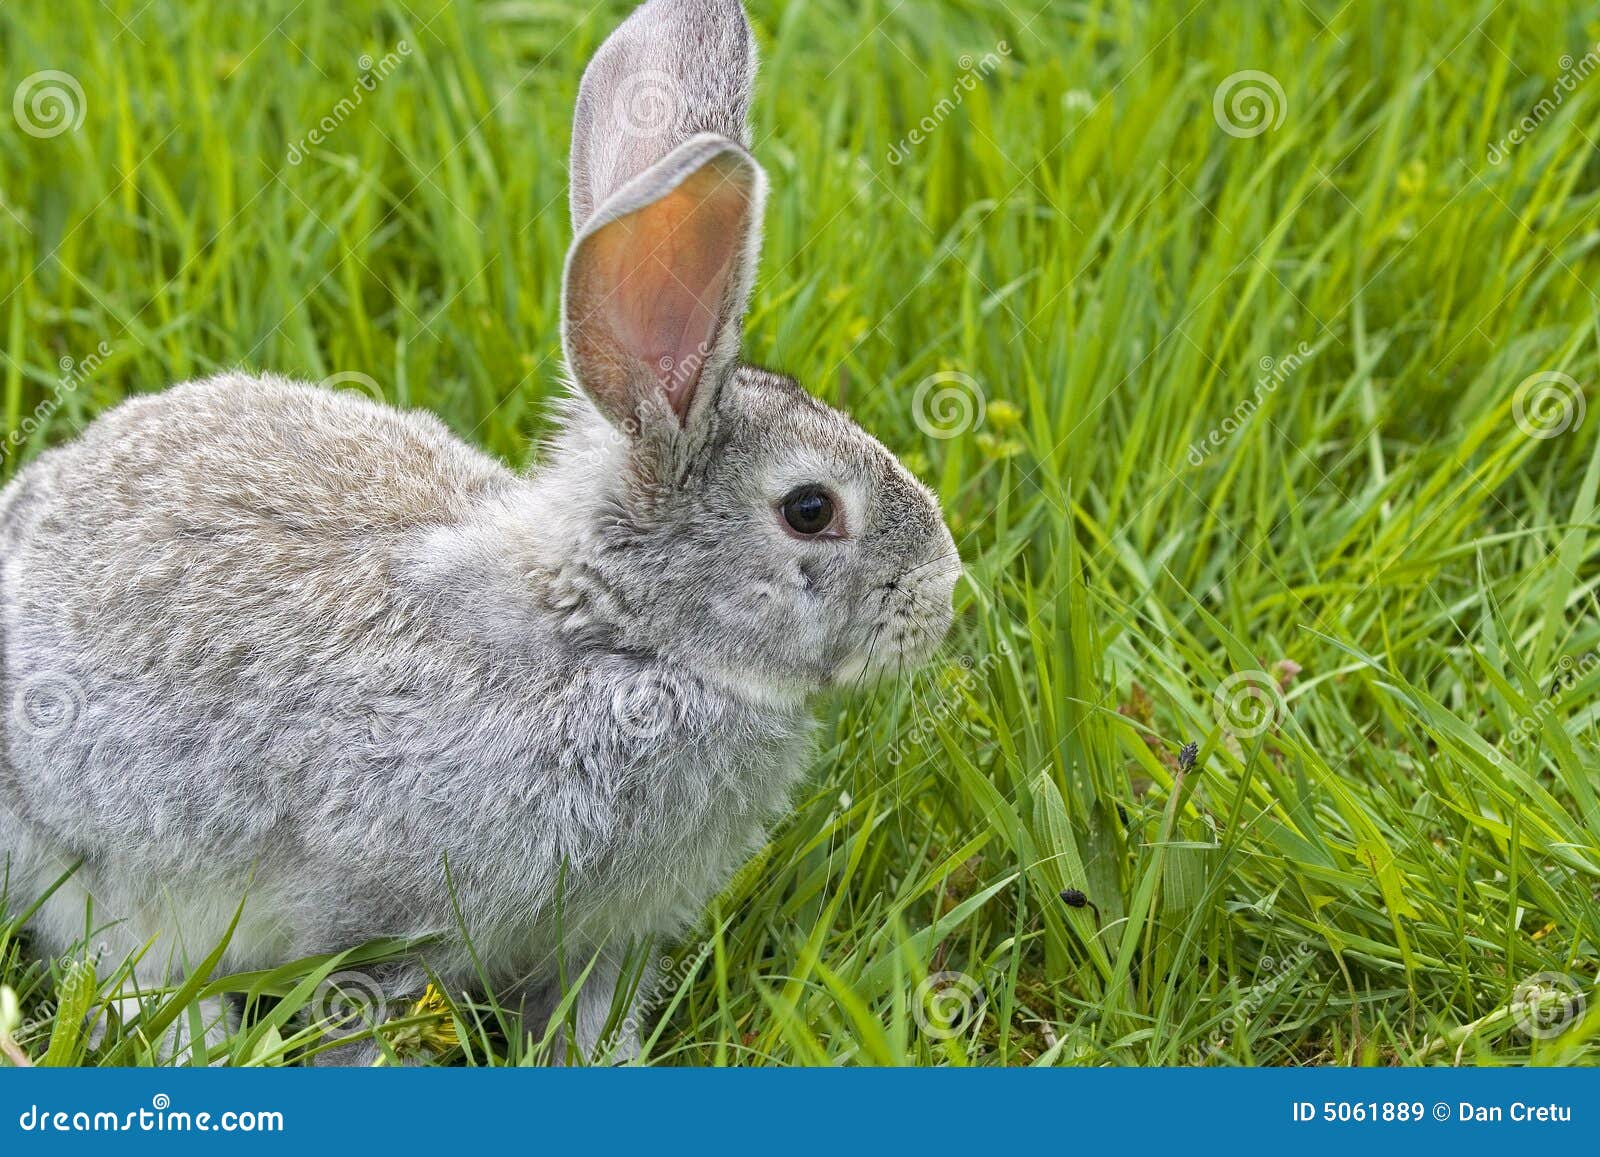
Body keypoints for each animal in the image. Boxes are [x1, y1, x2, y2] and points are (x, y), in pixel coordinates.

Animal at [0, 0, 959, 1064]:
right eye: (810, 510)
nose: (944, 591)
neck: (617, 635)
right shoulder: (382, 917)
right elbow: (353, 1012)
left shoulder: (606, 938)